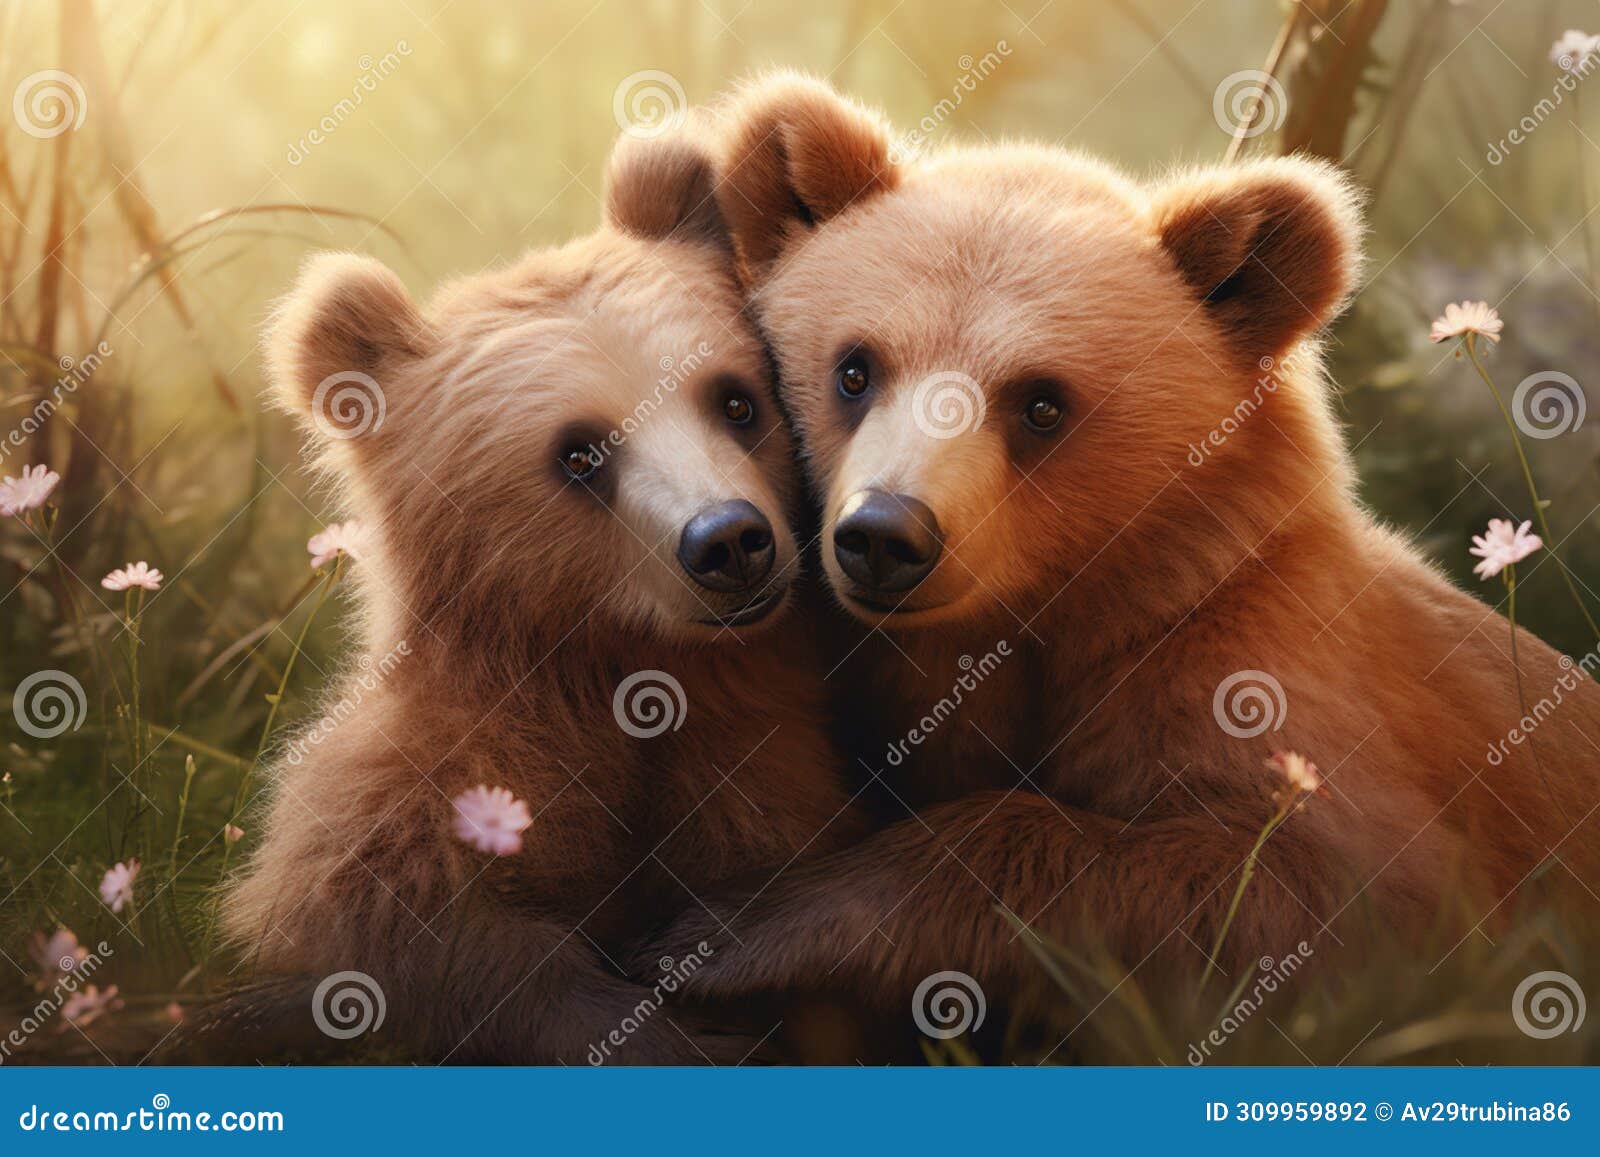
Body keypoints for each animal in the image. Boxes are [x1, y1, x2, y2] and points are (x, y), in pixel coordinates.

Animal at [215, 123, 866, 1064]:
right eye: (580, 452)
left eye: (736, 400)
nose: (730, 540)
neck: (622, 662)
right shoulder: (441, 785)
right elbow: (411, 932)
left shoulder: (750, 760)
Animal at [635, 73, 1600, 1029]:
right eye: (855, 368)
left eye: (1041, 402)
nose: (884, 532)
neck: (1059, 604)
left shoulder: (1245, 659)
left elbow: (1349, 892)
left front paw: (745, 924)